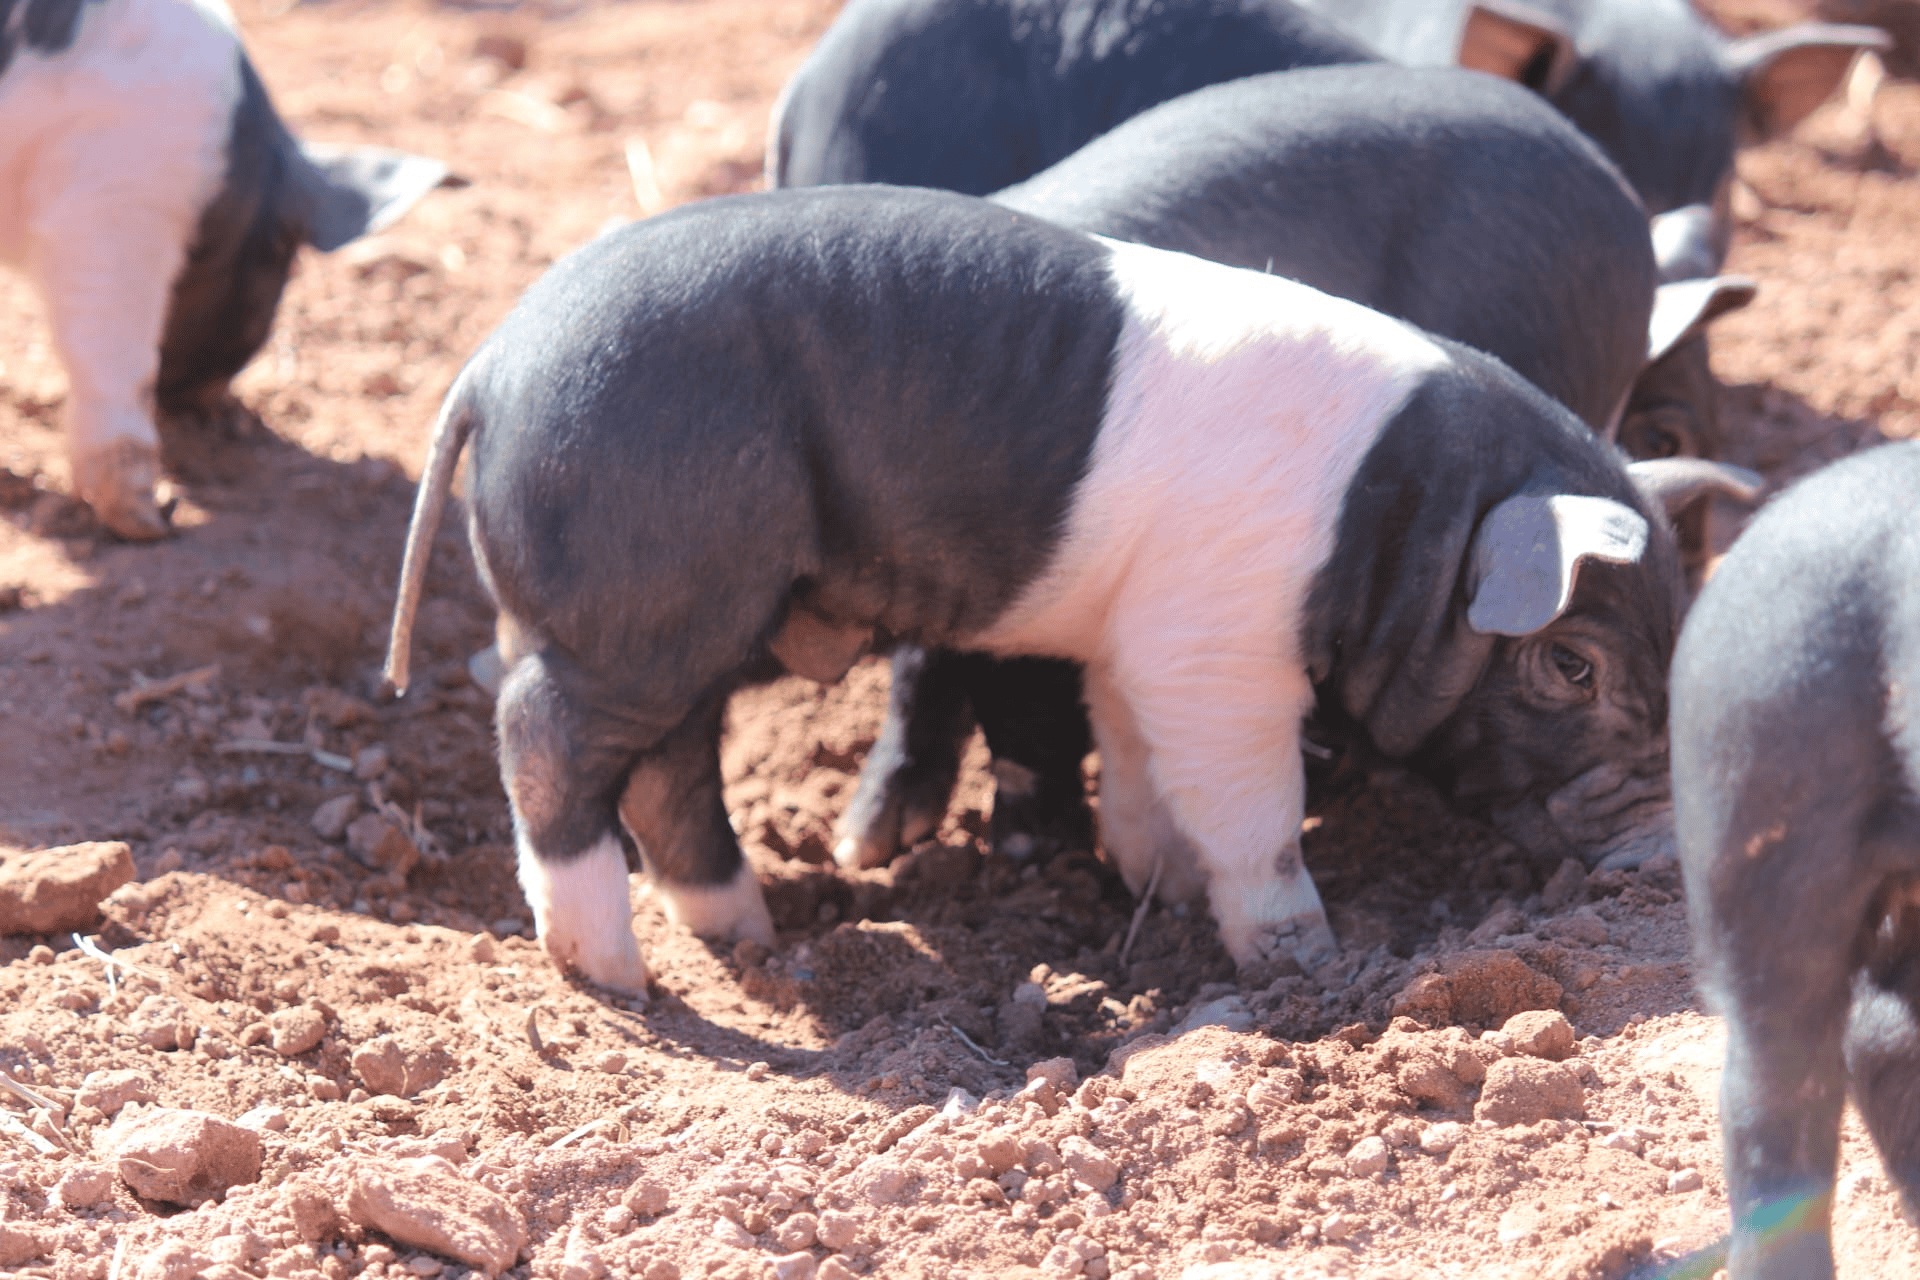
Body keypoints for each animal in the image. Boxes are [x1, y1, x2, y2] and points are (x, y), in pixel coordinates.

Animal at [387, 184, 1712, 994]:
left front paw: (1152, 881)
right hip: (628, 604)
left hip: (690, 618)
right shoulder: (1221, 646)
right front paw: (1308, 962)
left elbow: (1136, 761)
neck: (1400, 517)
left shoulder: (1142, 641)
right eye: (1573, 662)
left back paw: (751, 934)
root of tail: (493, 364)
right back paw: (614, 972)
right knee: (547, 738)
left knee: (669, 767)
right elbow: (1252, 809)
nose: (1664, 847)